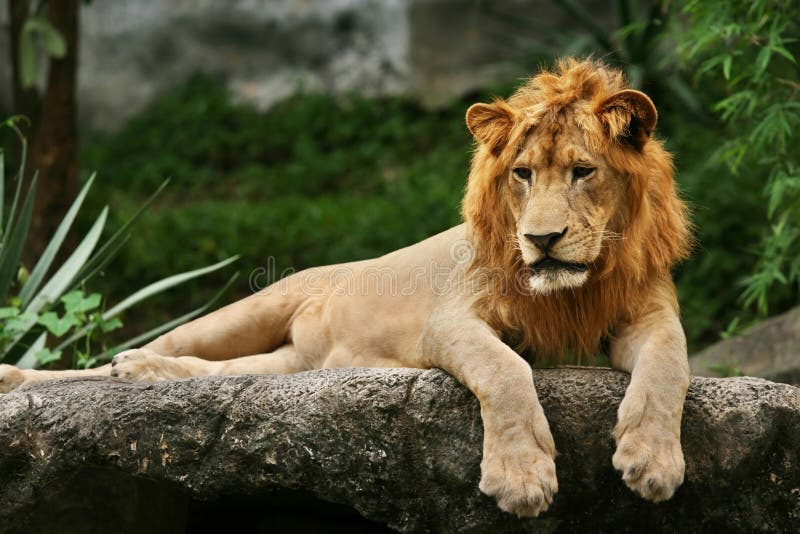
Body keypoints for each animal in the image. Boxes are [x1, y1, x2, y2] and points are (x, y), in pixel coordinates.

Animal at [0, 58, 692, 518]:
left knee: (215, 372)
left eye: (582, 172)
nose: (542, 240)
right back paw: (79, 370)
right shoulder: (453, 320)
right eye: (522, 174)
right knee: (158, 347)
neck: (575, 287)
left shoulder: (650, 314)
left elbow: (670, 364)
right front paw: (521, 477)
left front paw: (653, 460)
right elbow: (505, 370)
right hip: (254, 307)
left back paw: (141, 373)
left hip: (288, 366)